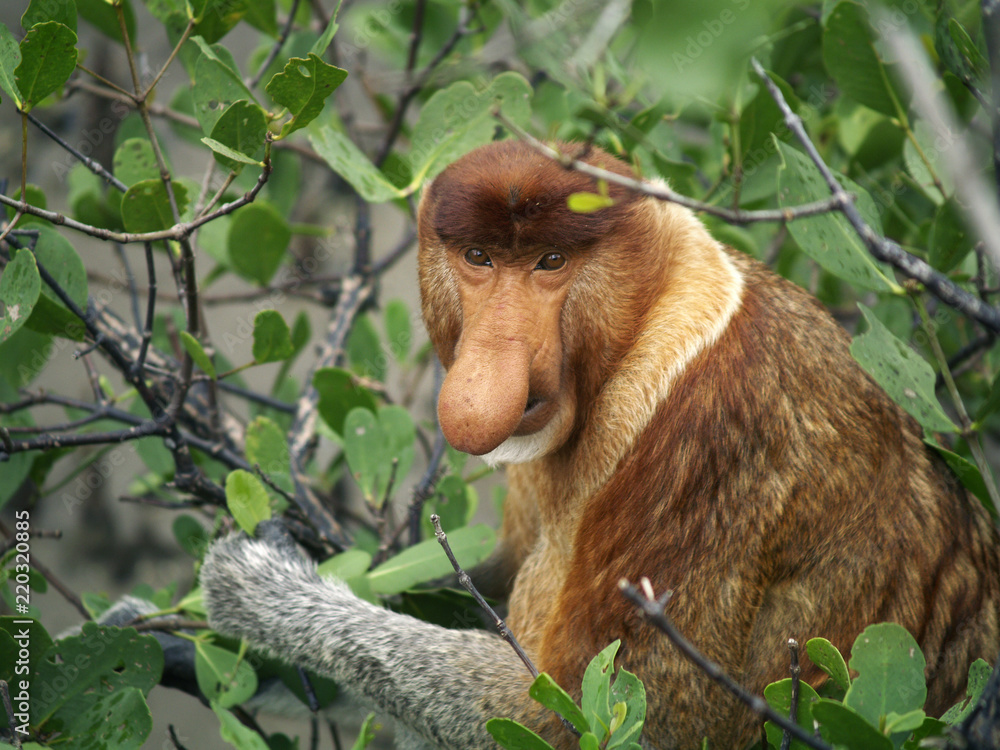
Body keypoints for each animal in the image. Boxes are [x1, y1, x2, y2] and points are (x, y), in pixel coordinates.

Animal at [200, 140, 1000, 749]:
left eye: (551, 262)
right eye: (480, 257)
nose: (491, 366)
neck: (643, 330)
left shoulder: (707, 443)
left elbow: (597, 714)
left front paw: (256, 587)